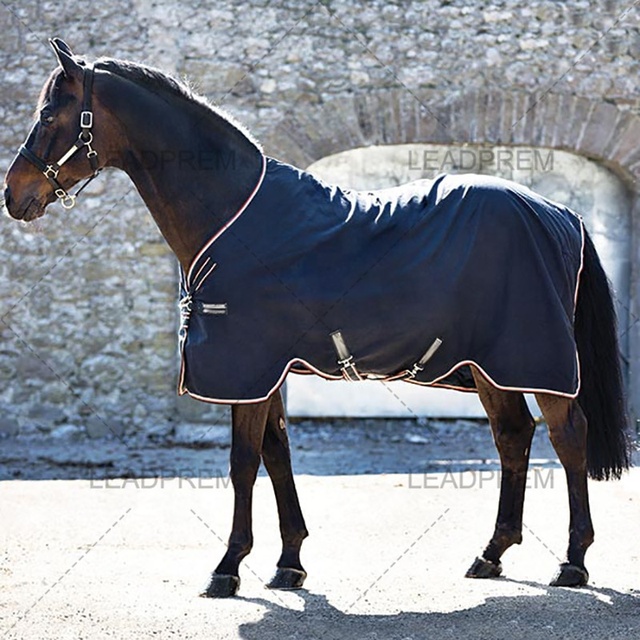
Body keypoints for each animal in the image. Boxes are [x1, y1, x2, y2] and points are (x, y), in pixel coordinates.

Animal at [3, 39, 631, 597]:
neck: (233, 215)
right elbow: (277, 457)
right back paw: (491, 554)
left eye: (51, 113)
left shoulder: (247, 370)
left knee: (567, 437)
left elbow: (243, 463)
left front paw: (227, 568)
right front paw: (289, 563)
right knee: (513, 436)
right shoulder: (266, 373)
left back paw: (573, 562)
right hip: (490, 367)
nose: (13, 194)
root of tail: (560, 213)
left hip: (535, 361)